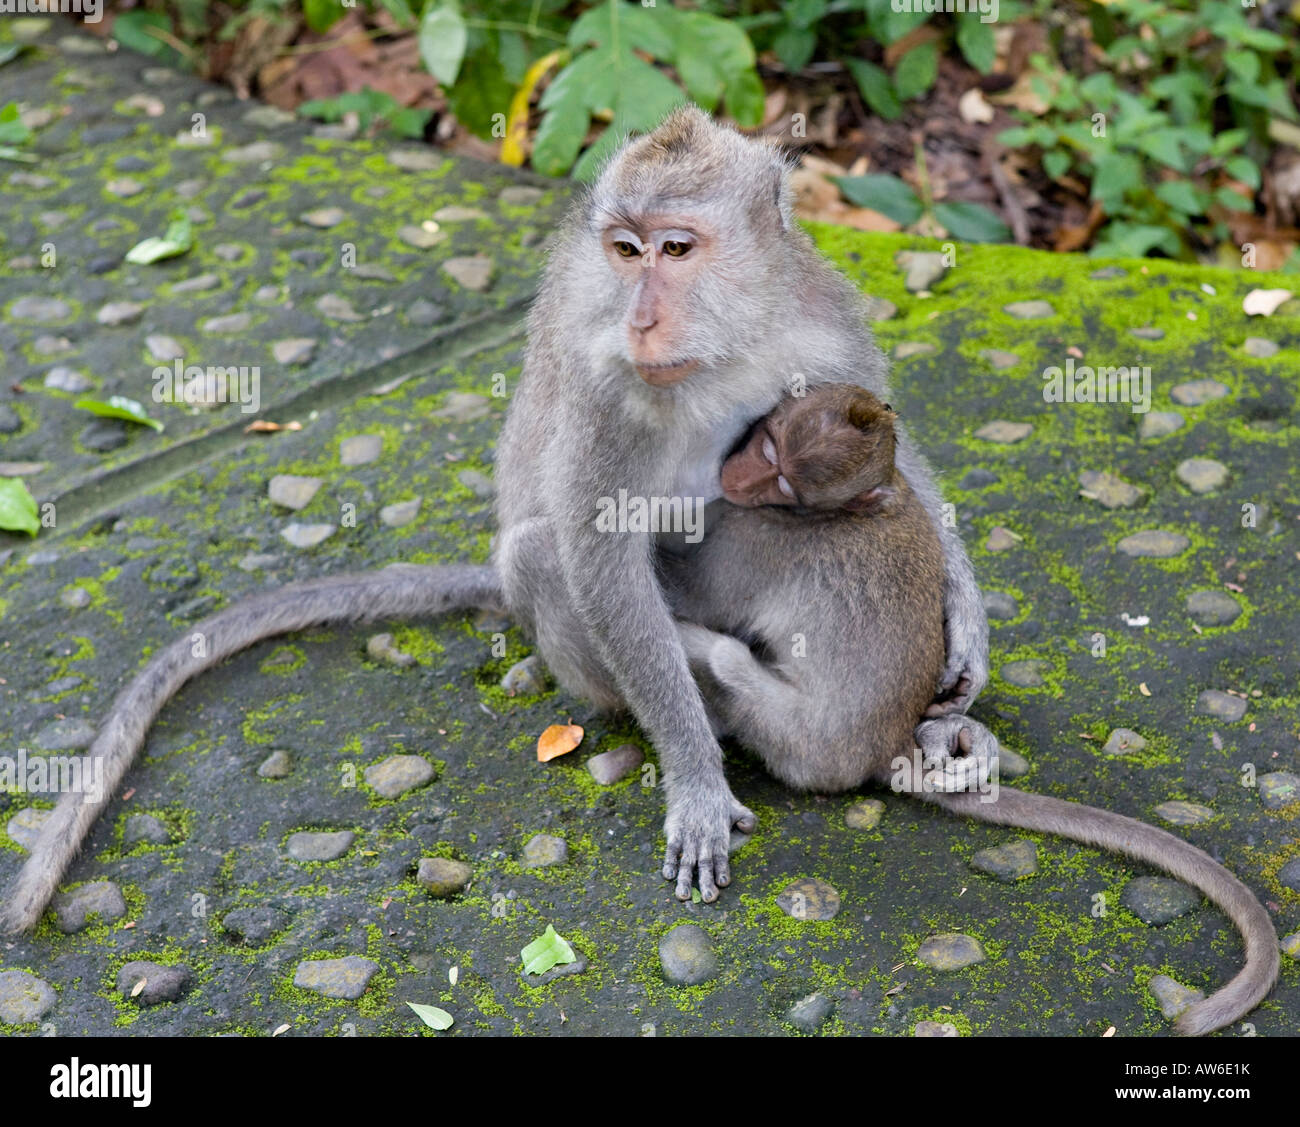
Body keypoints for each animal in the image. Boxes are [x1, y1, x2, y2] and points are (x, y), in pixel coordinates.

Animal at [3, 108, 985, 927]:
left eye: (677, 247)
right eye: (626, 252)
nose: (642, 318)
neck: (725, 344)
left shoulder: (819, 317)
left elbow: (896, 447)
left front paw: (967, 625)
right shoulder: (608, 387)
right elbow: (597, 554)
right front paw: (695, 777)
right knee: (543, 553)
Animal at [664, 383, 1278, 1037]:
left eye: (782, 479)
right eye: (768, 441)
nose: (735, 475)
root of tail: (888, 745)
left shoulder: (752, 538)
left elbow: (696, 588)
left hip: (799, 740)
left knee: (728, 657)